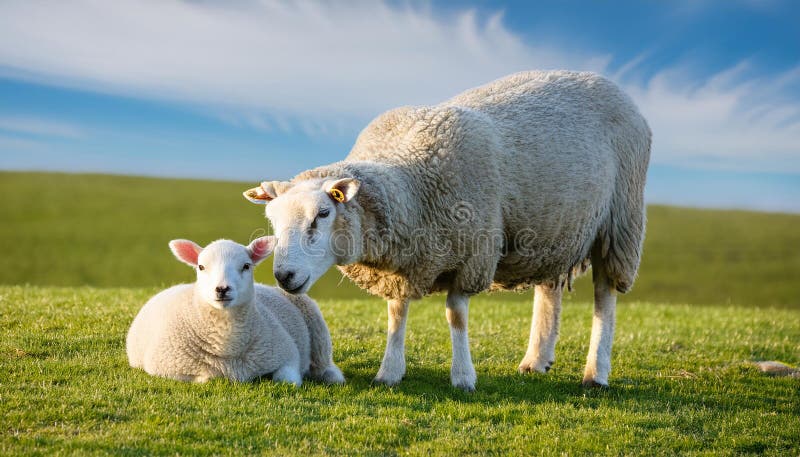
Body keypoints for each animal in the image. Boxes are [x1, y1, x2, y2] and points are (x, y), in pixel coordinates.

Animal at [126, 236, 345, 385]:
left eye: (246, 266)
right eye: (201, 267)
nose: (222, 289)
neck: (228, 345)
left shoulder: (287, 355)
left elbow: (286, 380)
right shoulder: (167, 367)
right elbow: (206, 378)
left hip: (315, 324)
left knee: (323, 360)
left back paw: (331, 376)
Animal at [243, 70, 651, 391]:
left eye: (323, 214)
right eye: (273, 221)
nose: (284, 276)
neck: (410, 181)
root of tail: (604, 82)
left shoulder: (470, 253)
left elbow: (456, 315)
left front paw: (463, 377)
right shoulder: (405, 262)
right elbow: (396, 313)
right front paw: (389, 372)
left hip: (619, 221)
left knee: (605, 295)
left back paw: (596, 372)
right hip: (555, 226)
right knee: (549, 289)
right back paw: (537, 359)